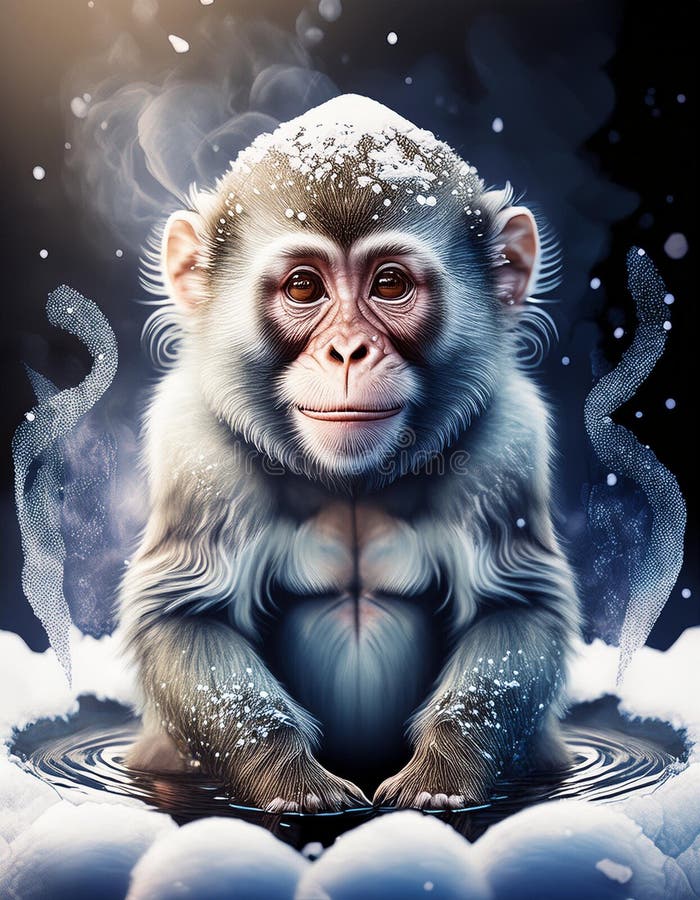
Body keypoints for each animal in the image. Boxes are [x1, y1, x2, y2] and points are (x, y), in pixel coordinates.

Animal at [118, 94, 580, 813]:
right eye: (304, 288)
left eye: (389, 284)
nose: (347, 351)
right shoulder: (195, 446)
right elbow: (188, 615)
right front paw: (289, 774)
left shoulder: (509, 437)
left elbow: (514, 605)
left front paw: (443, 770)